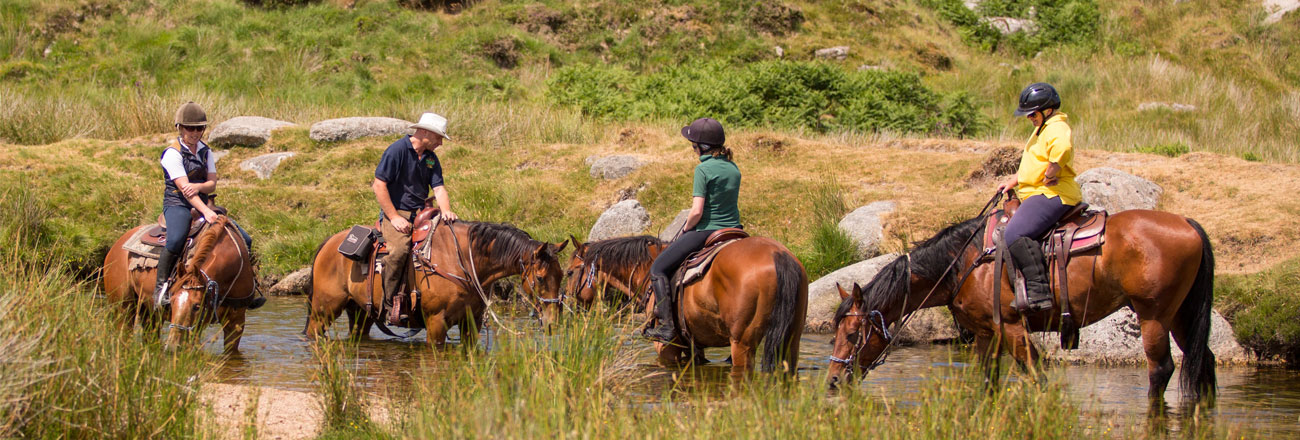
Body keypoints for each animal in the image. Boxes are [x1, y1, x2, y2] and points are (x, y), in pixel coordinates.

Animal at [103, 216, 259, 352]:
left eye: (197, 306)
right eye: (171, 302)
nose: (172, 347)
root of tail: (116, 245)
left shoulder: (236, 321)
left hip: (150, 313)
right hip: (123, 308)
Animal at [304, 220, 567, 346]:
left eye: (562, 276)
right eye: (540, 278)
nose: (552, 323)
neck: (464, 261)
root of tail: (329, 242)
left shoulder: (471, 323)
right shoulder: (436, 323)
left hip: (360, 313)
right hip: (324, 310)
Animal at [826, 209, 1218, 405]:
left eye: (852, 333)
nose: (832, 380)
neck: (962, 263)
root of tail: (1187, 224)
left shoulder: (1012, 327)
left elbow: (1037, 376)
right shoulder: (986, 334)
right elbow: (988, 382)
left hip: (1154, 314)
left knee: (1161, 369)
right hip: (1180, 315)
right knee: (1204, 362)